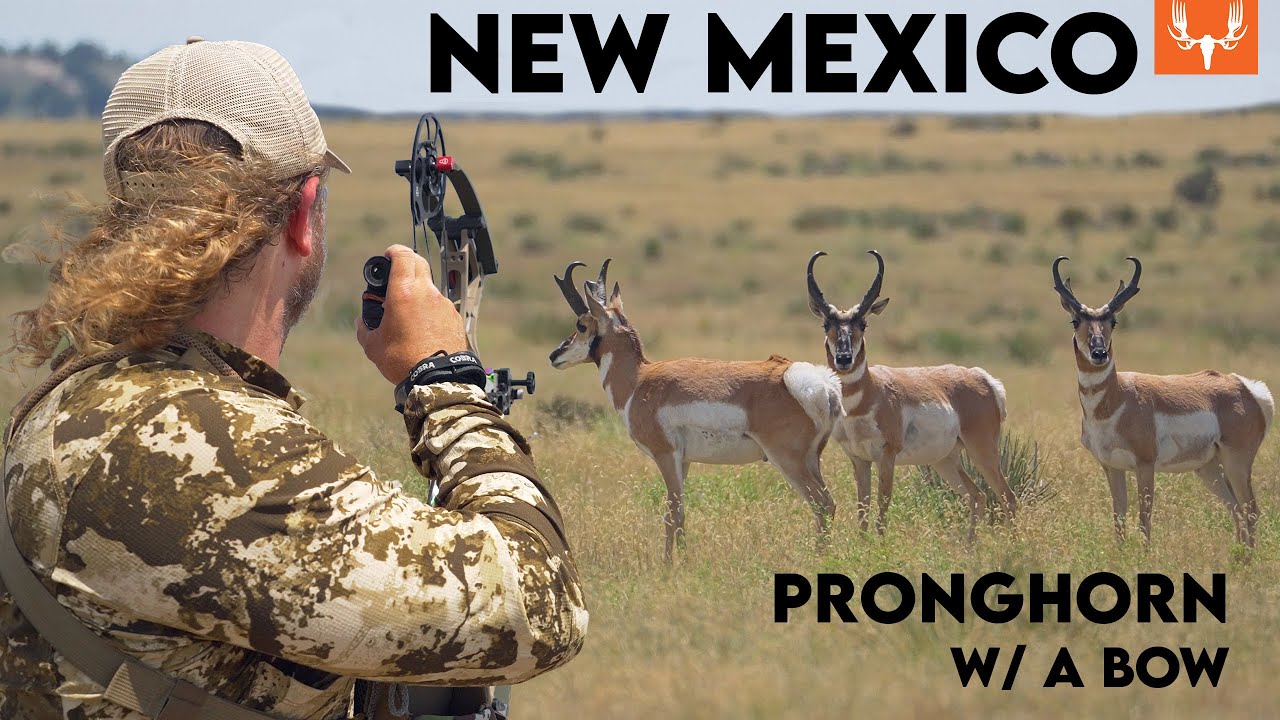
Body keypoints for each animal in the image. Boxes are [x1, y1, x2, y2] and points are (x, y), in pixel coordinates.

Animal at [548, 259, 843, 562]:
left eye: (582, 325)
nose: (554, 355)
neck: (639, 380)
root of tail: (818, 383)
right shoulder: (684, 461)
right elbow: (680, 514)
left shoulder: (665, 456)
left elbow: (672, 514)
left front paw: (670, 567)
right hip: (811, 460)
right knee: (827, 504)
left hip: (787, 460)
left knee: (822, 503)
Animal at [806, 250, 1017, 542]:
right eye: (826, 323)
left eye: (863, 323)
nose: (844, 359)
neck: (868, 394)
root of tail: (982, 378)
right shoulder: (859, 459)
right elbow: (863, 508)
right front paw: (862, 545)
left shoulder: (887, 456)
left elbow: (882, 504)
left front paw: (880, 545)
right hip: (945, 460)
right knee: (978, 496)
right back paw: (970, 547)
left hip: (982, 450)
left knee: (1007, 497)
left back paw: (1013, 546)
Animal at [1052, 256, 1273, 549]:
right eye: (1075, 321)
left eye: (1114, 320)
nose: (1099, 353)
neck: (1115, 400)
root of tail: (1246, 387)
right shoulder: (1112, 467)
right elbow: (1119, 518)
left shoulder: (1145, 465)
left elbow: (1144, 518)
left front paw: (1144, 554)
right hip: (1209, 468)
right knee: (1236, 509)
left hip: (1236, 462)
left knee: (1251, 509)